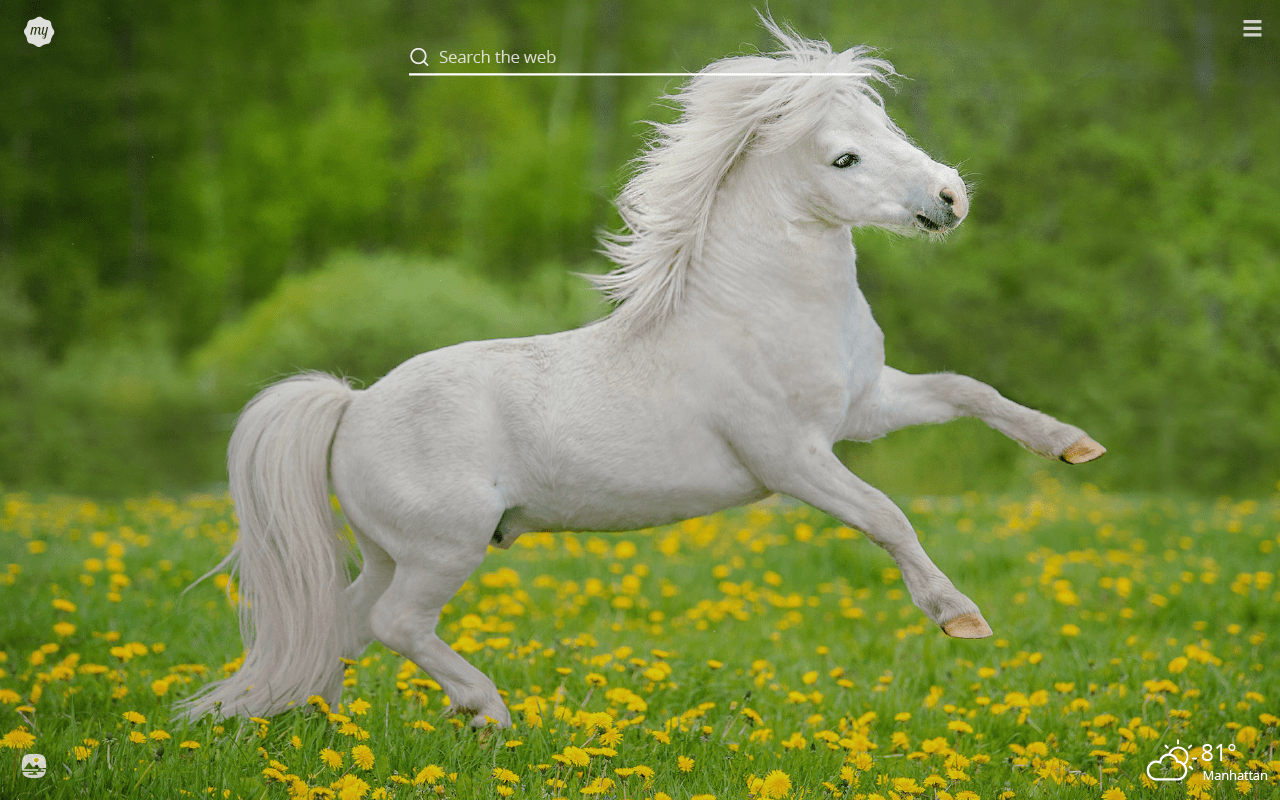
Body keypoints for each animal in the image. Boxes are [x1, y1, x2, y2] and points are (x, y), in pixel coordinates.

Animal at [176, 20, 1104, 728]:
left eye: (888, 128)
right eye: (843, 158)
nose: (949, 198)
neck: (762, 310)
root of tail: (352, 406)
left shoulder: (865, 410)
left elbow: (964, 391)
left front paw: (1072, 446)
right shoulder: (794, 459)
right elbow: (887, 515)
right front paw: (960, 618)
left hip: (386, 553)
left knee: (341, 627)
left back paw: (301, 722)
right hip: (445, 548)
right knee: (399, 624)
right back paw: (488, 712)